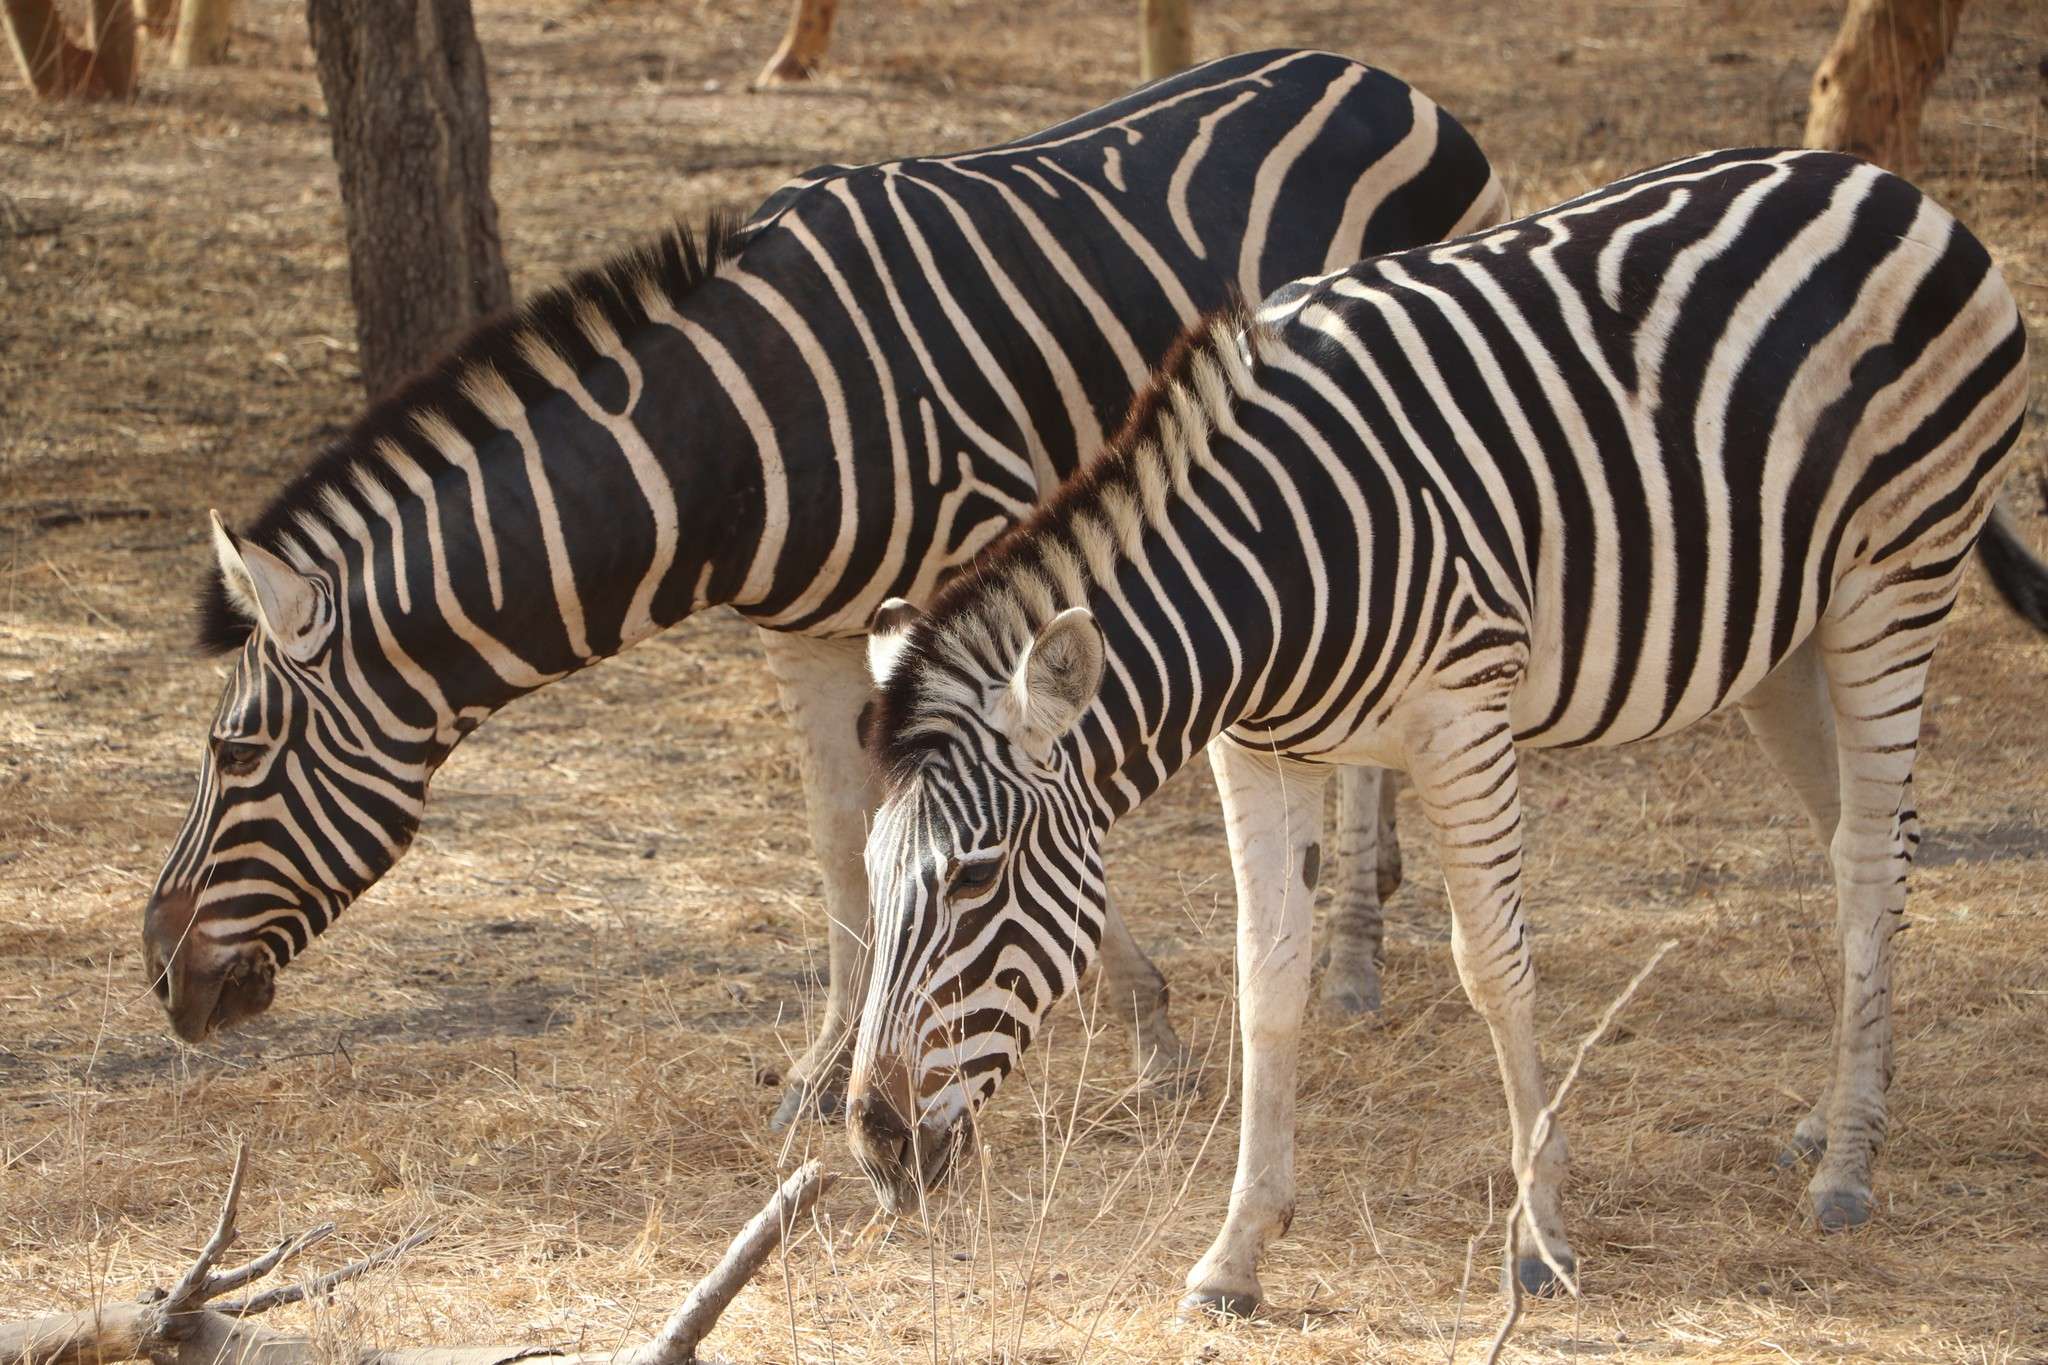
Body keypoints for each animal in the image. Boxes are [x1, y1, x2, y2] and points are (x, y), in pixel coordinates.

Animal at [139, 50, 1503, 1126]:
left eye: (235, 751)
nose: (158, 974)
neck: (732, 437)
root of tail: (1388, 80)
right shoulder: (802, 635)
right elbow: (843, 840)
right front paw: (819, 1065)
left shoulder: (999, 590)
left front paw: (1152, 1032)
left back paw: (1351, 960)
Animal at [847, 147, 2038, 1314]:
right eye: (875, 872)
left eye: (973, 879)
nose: (872, 1145)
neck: (1268, 564)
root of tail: (1888, 184)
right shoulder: (1255, 750)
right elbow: (1266, 979)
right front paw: (1236, 1252)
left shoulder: (1461, 713)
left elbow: (1492, 965)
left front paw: (1541, 1235)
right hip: (1782, 637)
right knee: (1866, 839)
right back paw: (1837, 1112)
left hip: (1895, 580)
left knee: (1869, 856)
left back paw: (1845, 1167)